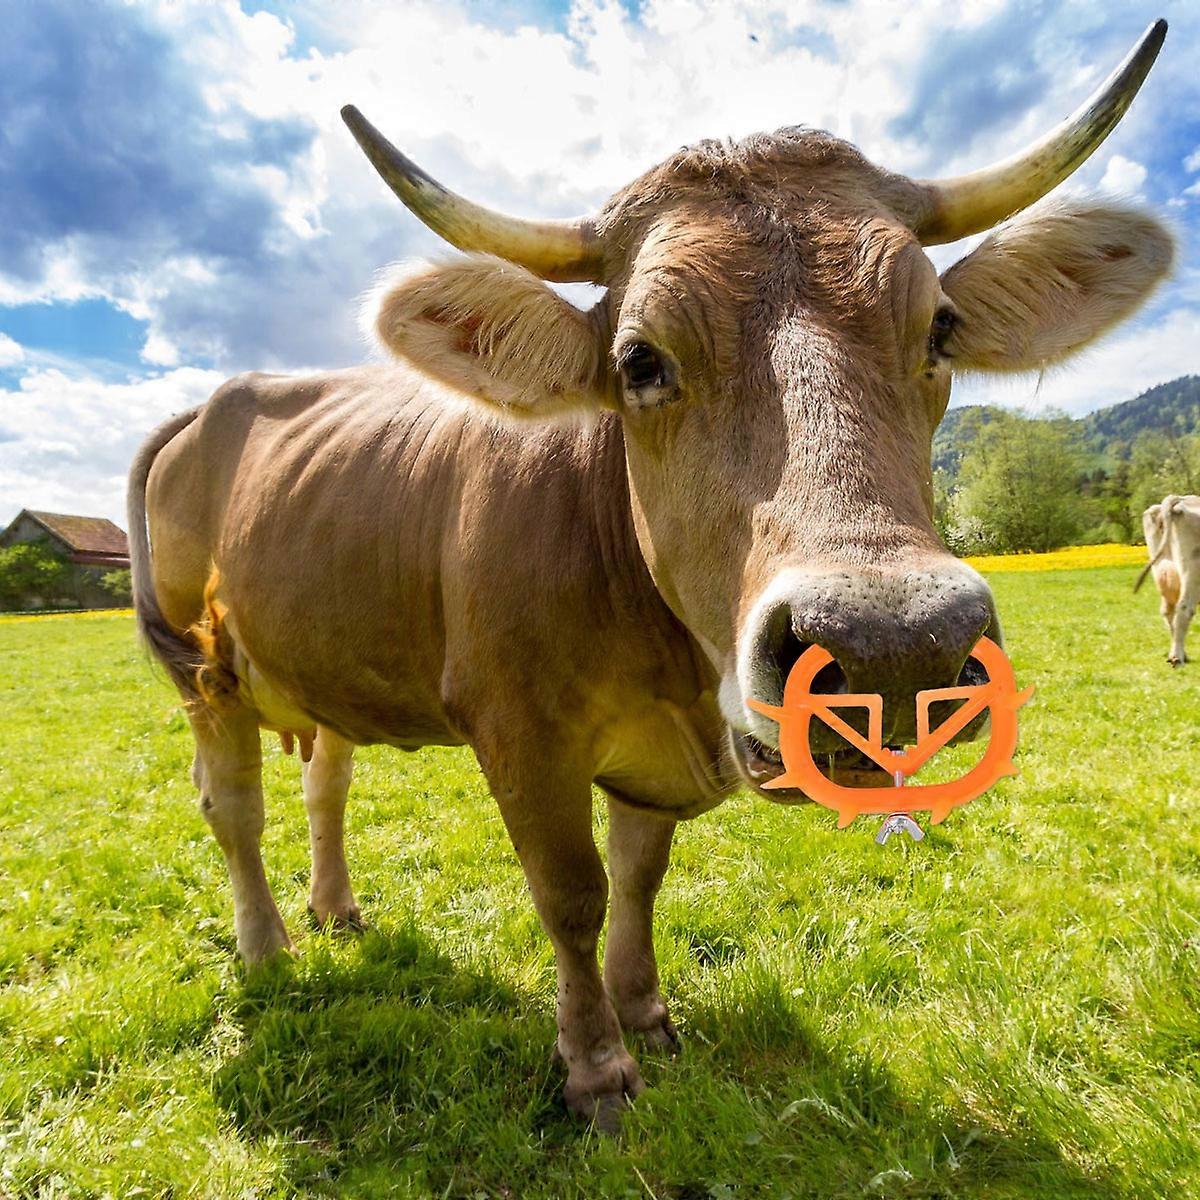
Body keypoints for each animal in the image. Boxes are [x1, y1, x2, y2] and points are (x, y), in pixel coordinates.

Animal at [129, 22, 1172, 1126]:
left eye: (939, 327)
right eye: (639, 360)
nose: (894, 648)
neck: (666, 665)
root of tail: (218, 400)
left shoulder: (648, 761)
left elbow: (639, 879)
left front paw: (648, 1018)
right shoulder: (519, 732)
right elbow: (572, 893)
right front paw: (596, 1065)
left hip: (321, 655)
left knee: (325, 780)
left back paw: (336, 910)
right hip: (205, 673)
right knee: (233, 806)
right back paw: (268, 947)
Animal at [1136, 494, 1200, 665]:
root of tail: (1180, 499)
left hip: (1161, 569)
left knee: (1168, 611)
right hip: (1192, 570)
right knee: (1184, 608)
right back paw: (1177, 657)